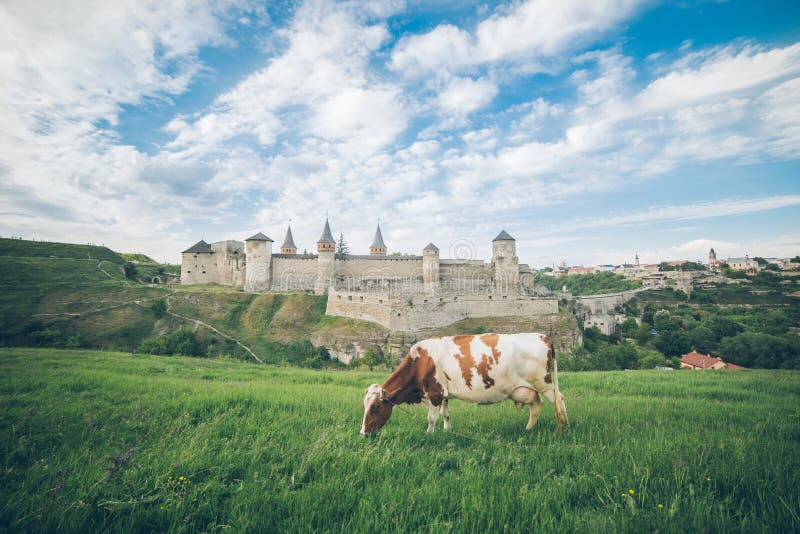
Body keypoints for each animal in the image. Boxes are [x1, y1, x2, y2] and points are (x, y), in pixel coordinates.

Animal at [360, 332, 568, 436]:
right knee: (536, 406)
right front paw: (447, 430)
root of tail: (542, 336)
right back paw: (528, 429)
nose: (363, 433)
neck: (421, 360)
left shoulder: (434, 393)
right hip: (528, 389)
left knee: (559, 402)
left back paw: (562, 430)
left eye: (376, 407)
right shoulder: (443, 394)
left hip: (545, 383)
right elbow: (445, 414)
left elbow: (431, 417)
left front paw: (429, 434)